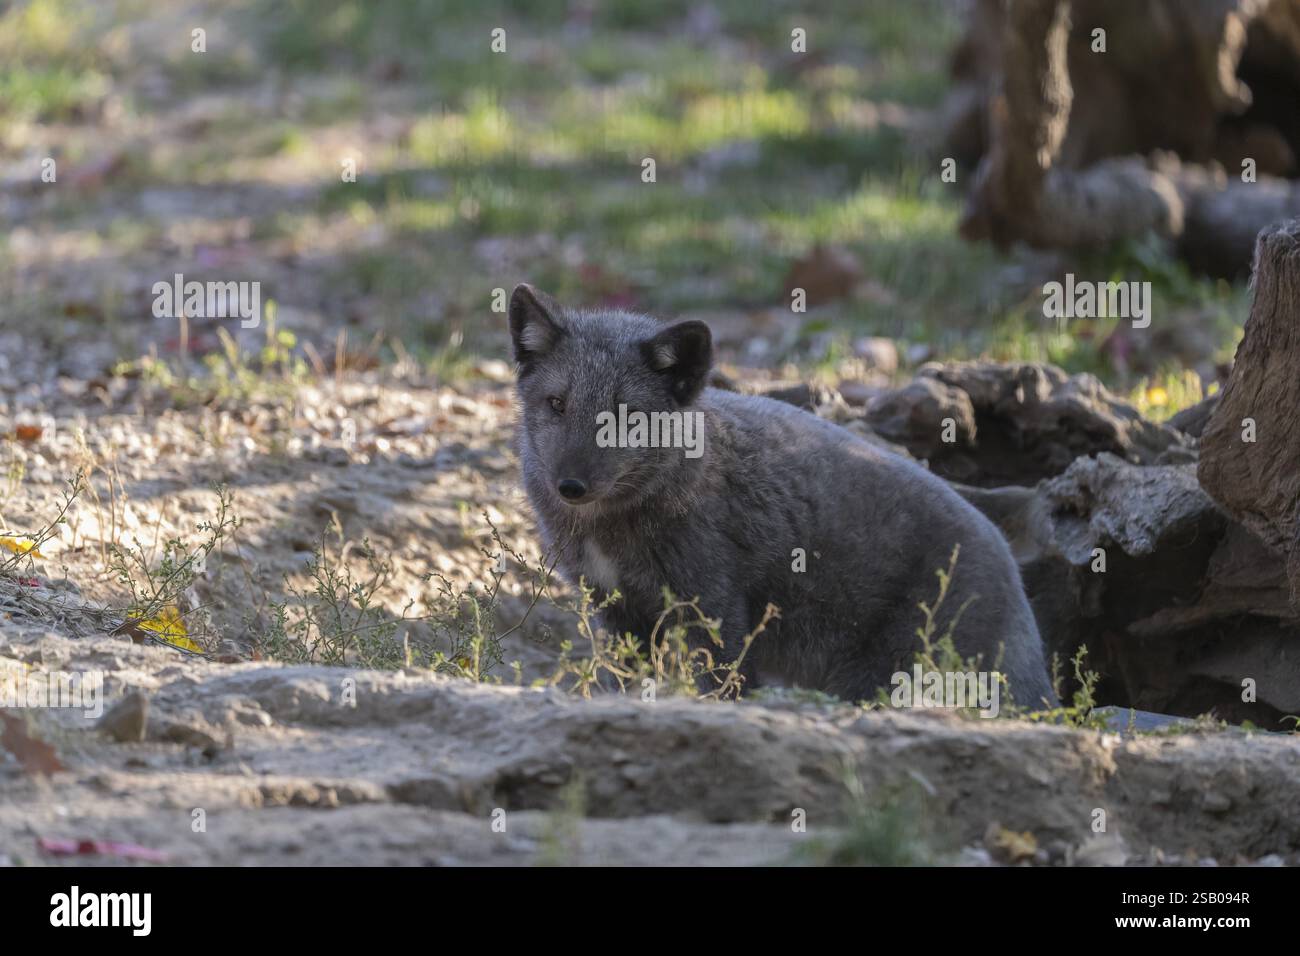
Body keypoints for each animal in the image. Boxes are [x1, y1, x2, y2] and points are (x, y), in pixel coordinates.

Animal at [509, 283, 1057, 707]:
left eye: (624, 416)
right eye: (556, 404)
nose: (570, 486)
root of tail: (1011, 570)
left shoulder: (713, 610)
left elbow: (726, 687)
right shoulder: (619, 613)